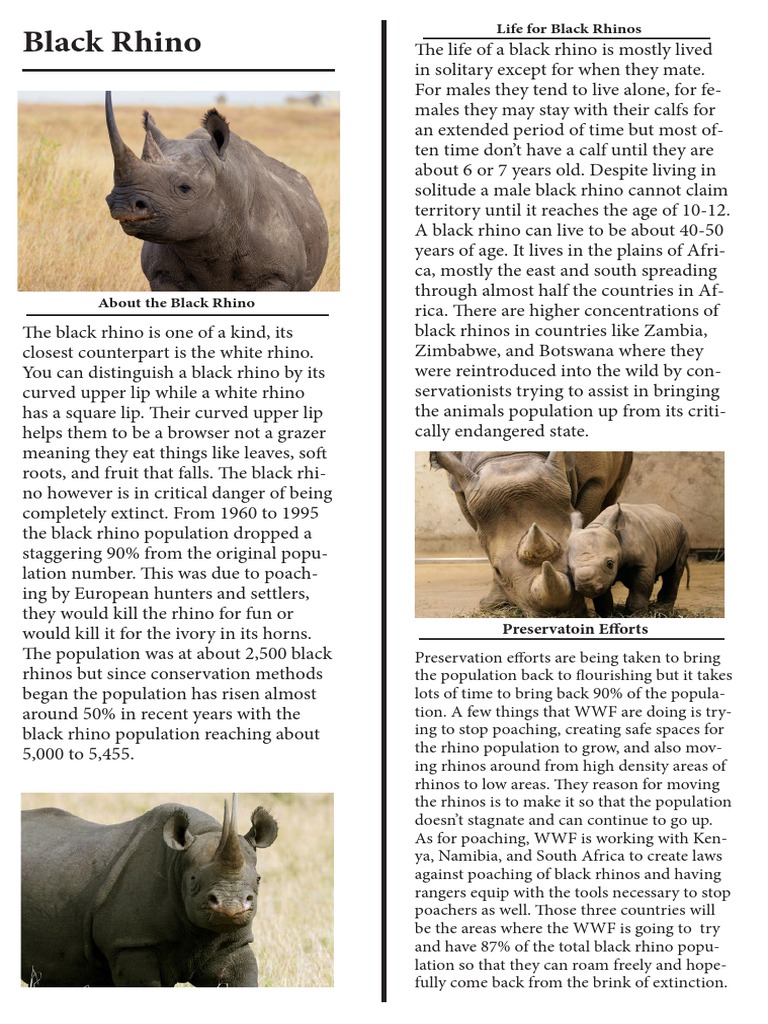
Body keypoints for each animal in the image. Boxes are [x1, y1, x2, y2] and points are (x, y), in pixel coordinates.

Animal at [430, 451, 633, 616]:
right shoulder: (461, 489)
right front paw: (494, 604)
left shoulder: (595, 480)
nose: (557, 613)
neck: (511, 458)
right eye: (498, 571)